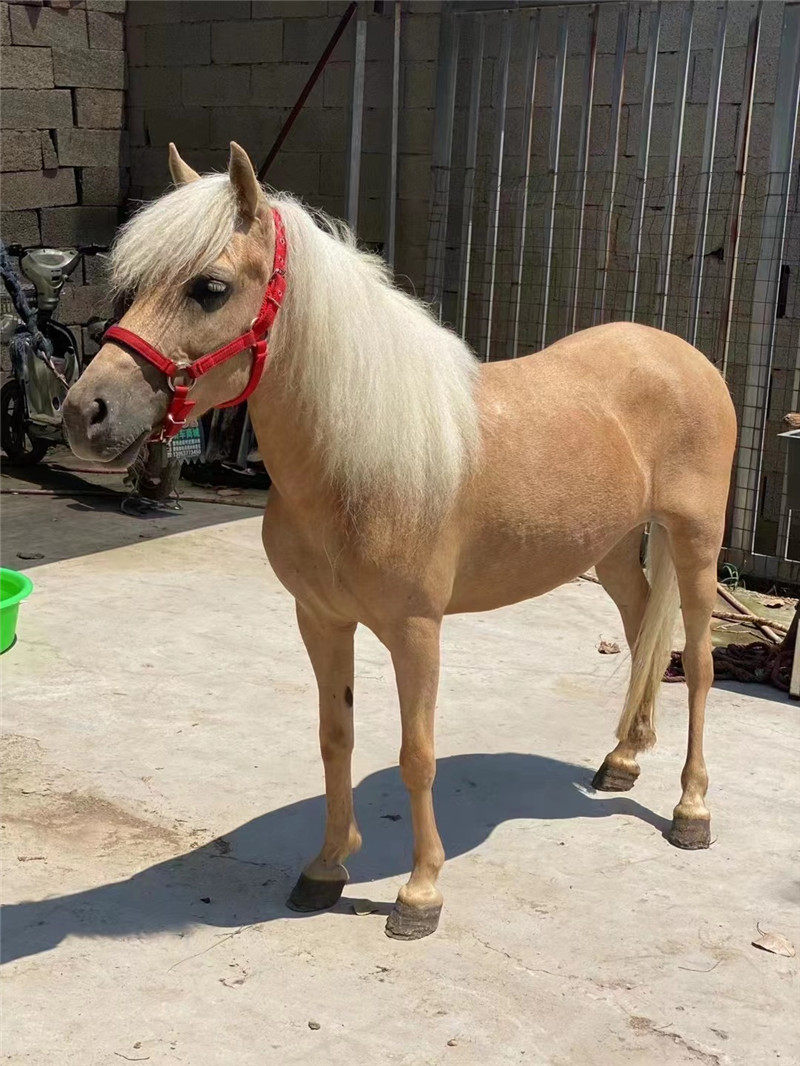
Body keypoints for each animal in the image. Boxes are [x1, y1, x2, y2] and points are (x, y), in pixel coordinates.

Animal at [63, 142, 737, 941]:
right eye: (133, 286)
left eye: (210, 288)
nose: (85, 413)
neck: (356, 463)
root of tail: (683, 356)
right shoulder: (321, 619)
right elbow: (336, 738)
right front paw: (326, 870)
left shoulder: (416, 630)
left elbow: (418, 756)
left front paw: (420, 895)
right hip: (610, 550)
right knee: (641, 638)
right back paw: (623, 761)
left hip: (695, 544)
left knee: (698, 665)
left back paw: (691, 811)